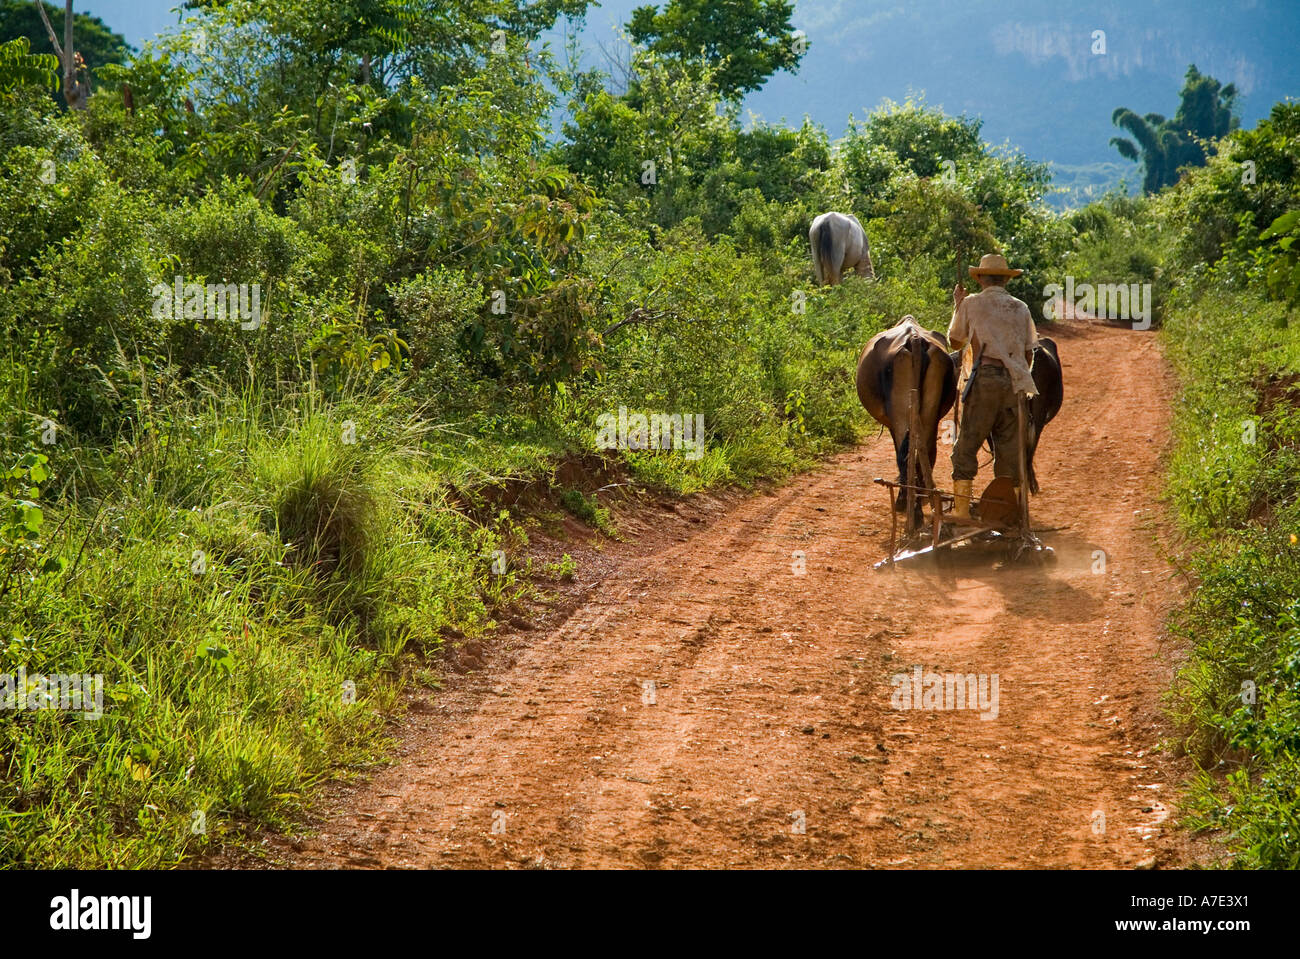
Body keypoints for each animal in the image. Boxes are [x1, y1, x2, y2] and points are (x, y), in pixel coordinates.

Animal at [856, 316, 957, 525]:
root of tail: (915, 340)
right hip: (928, 416)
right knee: (925, 451)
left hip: (902, 414)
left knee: (906, 455)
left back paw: (909, 507)